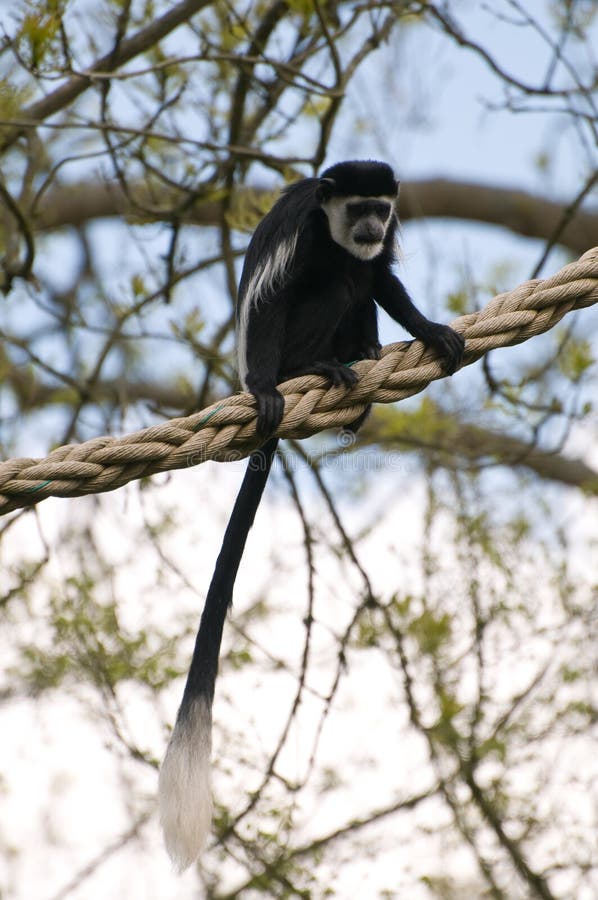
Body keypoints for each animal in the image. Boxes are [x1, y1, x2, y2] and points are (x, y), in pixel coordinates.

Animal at [158, 160, 464, 870]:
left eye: (381, 209)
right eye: (358, 207)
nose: (370, 226)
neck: (333, 224)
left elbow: (383, 279)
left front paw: (428, 329)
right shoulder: (303, 237)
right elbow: (280, 296)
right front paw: (269, 387)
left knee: (360, 283)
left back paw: (367, 361)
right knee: (333, 284)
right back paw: (310, 371)